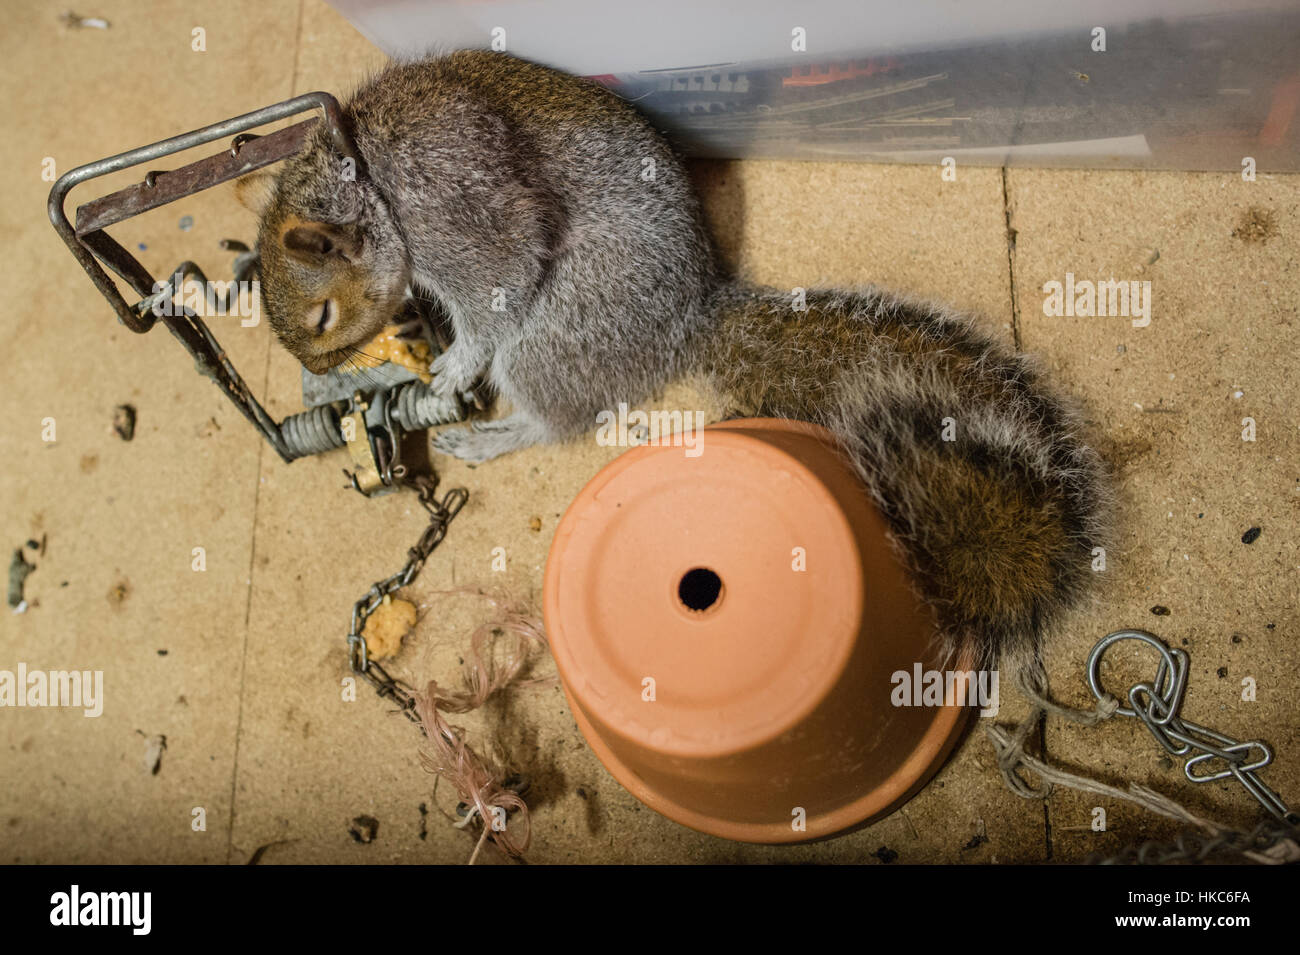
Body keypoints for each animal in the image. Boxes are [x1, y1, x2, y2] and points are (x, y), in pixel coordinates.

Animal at [237, 50, 1112, 675]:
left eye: (322, 313)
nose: (328, 363)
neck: (363, 177)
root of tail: (687, 317)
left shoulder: (453, 204)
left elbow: (503, 277)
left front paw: (454, 366)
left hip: (559, 335)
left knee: (555, 413)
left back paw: (489, 434)